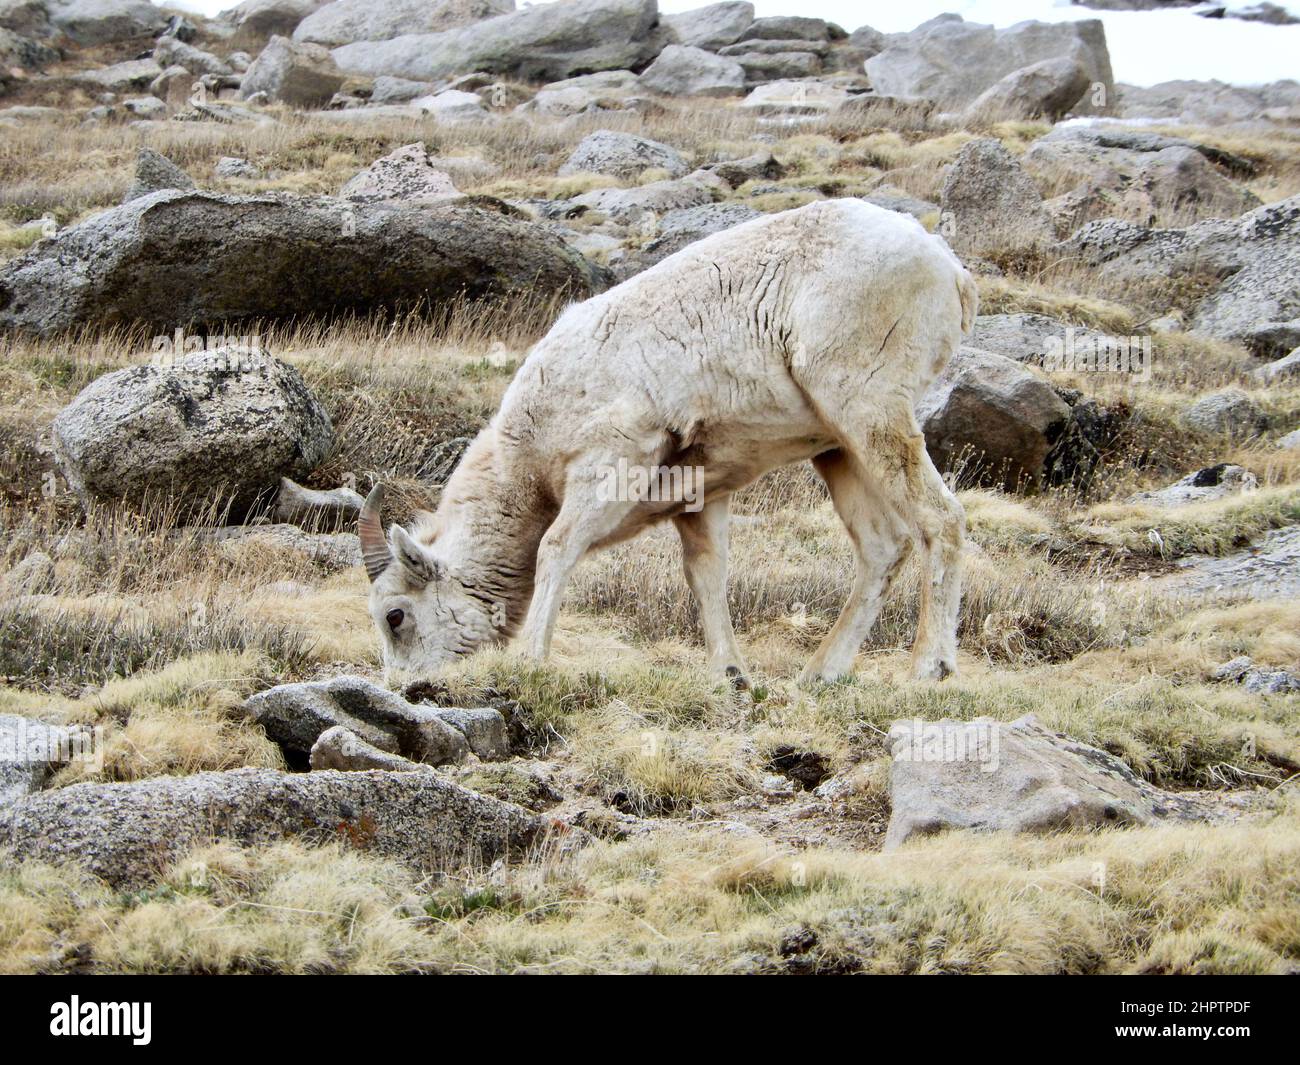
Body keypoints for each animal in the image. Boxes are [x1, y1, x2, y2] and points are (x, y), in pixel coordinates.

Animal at [360, 199, 976, 687]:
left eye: (395, 616)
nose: (408, 688)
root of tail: (947, 266)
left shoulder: (608, 465)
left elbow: (556, 548)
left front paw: (531, 661)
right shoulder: (700, 498)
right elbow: (707, 576)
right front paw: (730, 677)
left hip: (870, 412)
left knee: (939, 519)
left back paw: (929, 669)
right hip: (839, 449)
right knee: (882, 547)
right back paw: (818, 675)